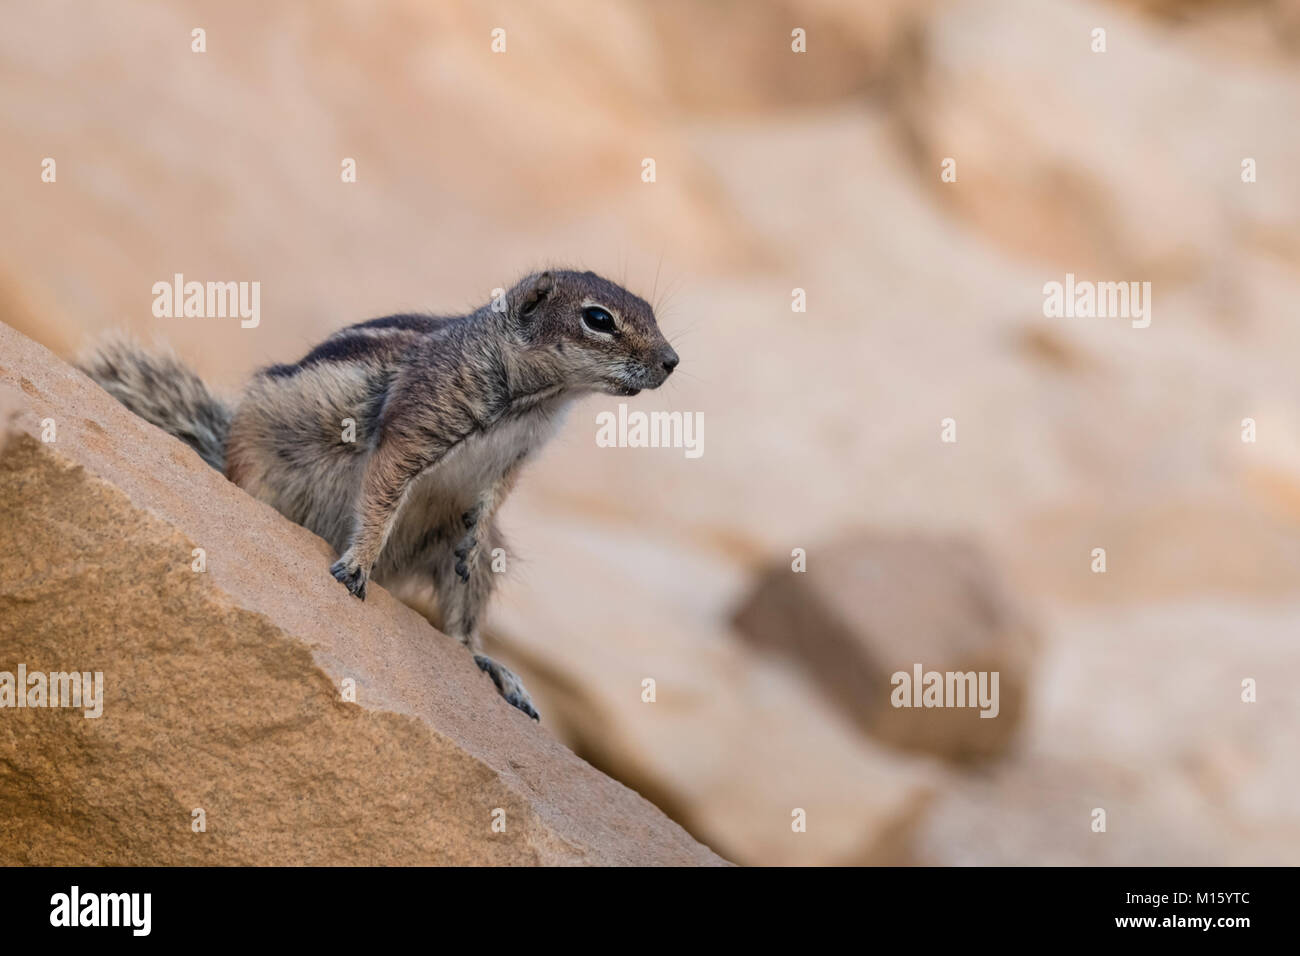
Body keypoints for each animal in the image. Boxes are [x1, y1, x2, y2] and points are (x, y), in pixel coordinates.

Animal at [80, 270, 679, 719]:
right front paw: (357, 564)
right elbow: (384, 490)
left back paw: (494, 668)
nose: (672, 362)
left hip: (476, 558)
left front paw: (469, 537)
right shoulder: (420, 417)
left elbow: (491, 500)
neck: (540, 399)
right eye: (598, 319)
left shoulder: (513, 463)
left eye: (651, 312)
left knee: (463, 624)